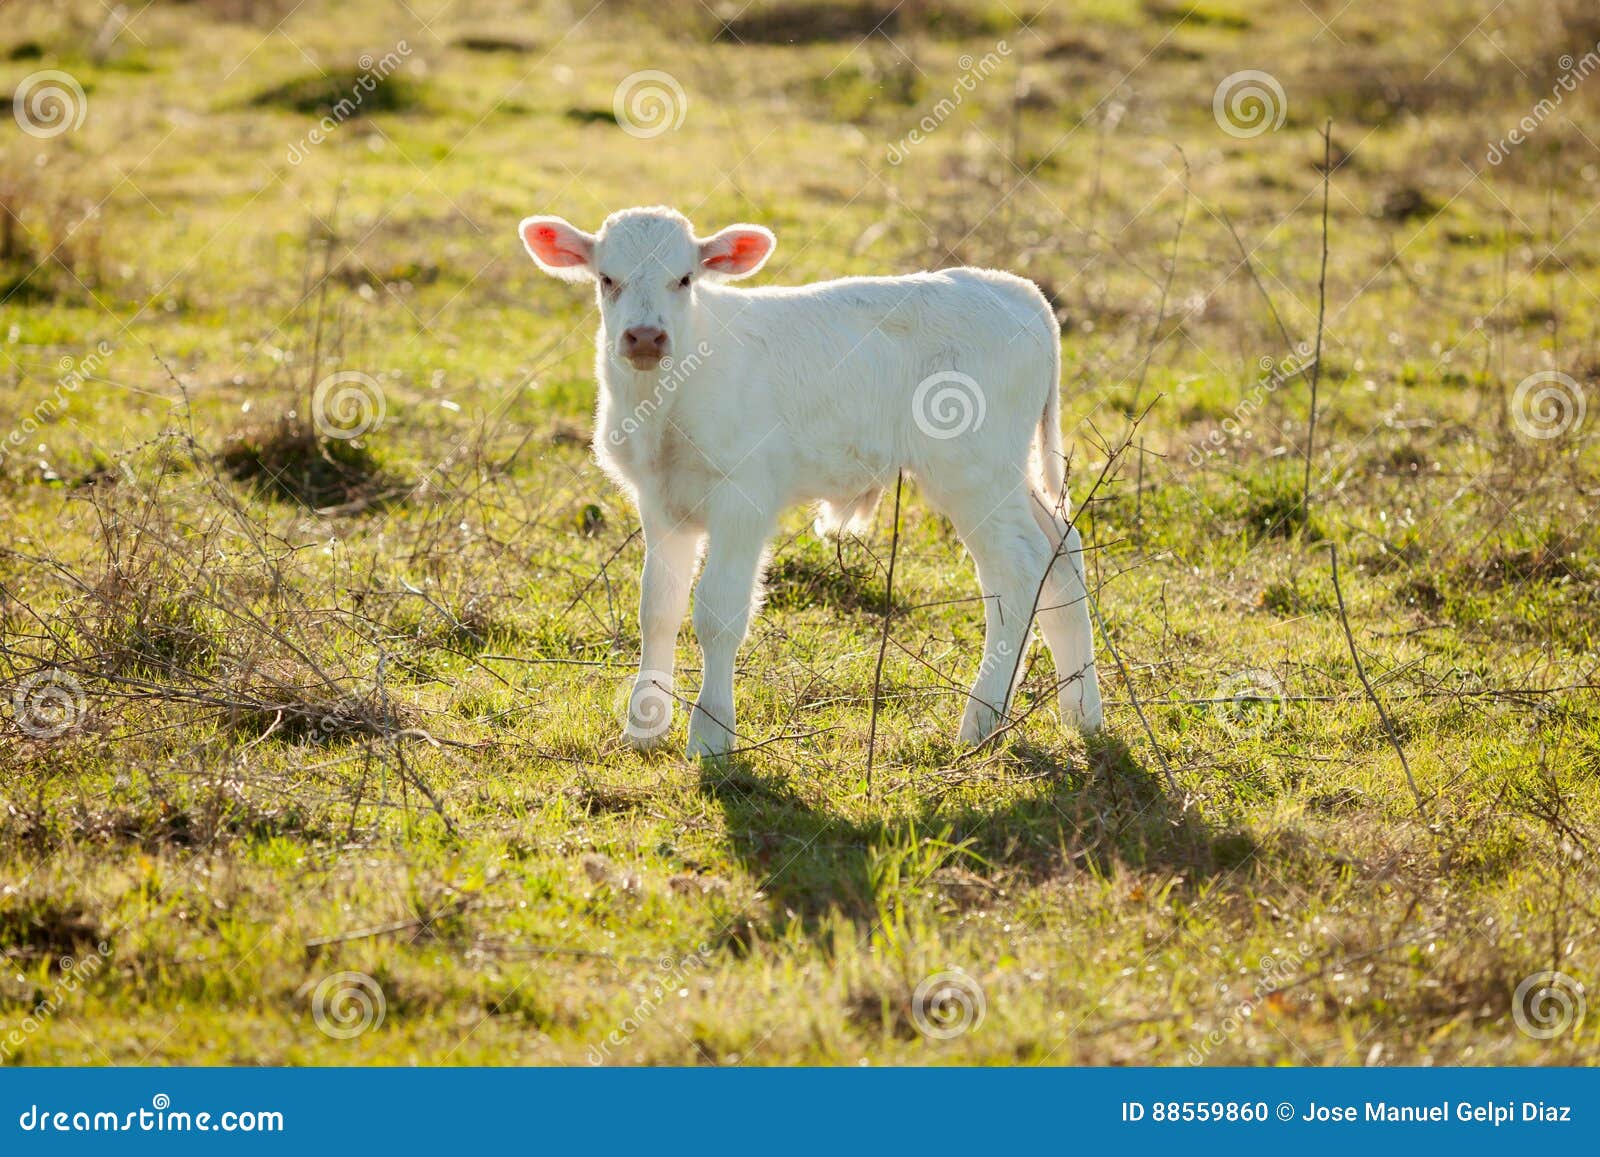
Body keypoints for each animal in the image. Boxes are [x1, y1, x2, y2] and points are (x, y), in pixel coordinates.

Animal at [519, 206, 1102, 758]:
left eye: (684, 279)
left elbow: (718, 612)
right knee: (1062, 549)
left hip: (974, 470)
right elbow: (658, 608)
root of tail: (1013, 288)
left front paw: (710, 736)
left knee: (1019, 567)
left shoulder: (744, 495)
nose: (644, 336)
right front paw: (643, 727)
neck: (669, 393)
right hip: (1010, 471)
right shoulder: (659, 501)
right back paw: (1082, 714)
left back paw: (980, 722)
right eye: (607, 278)